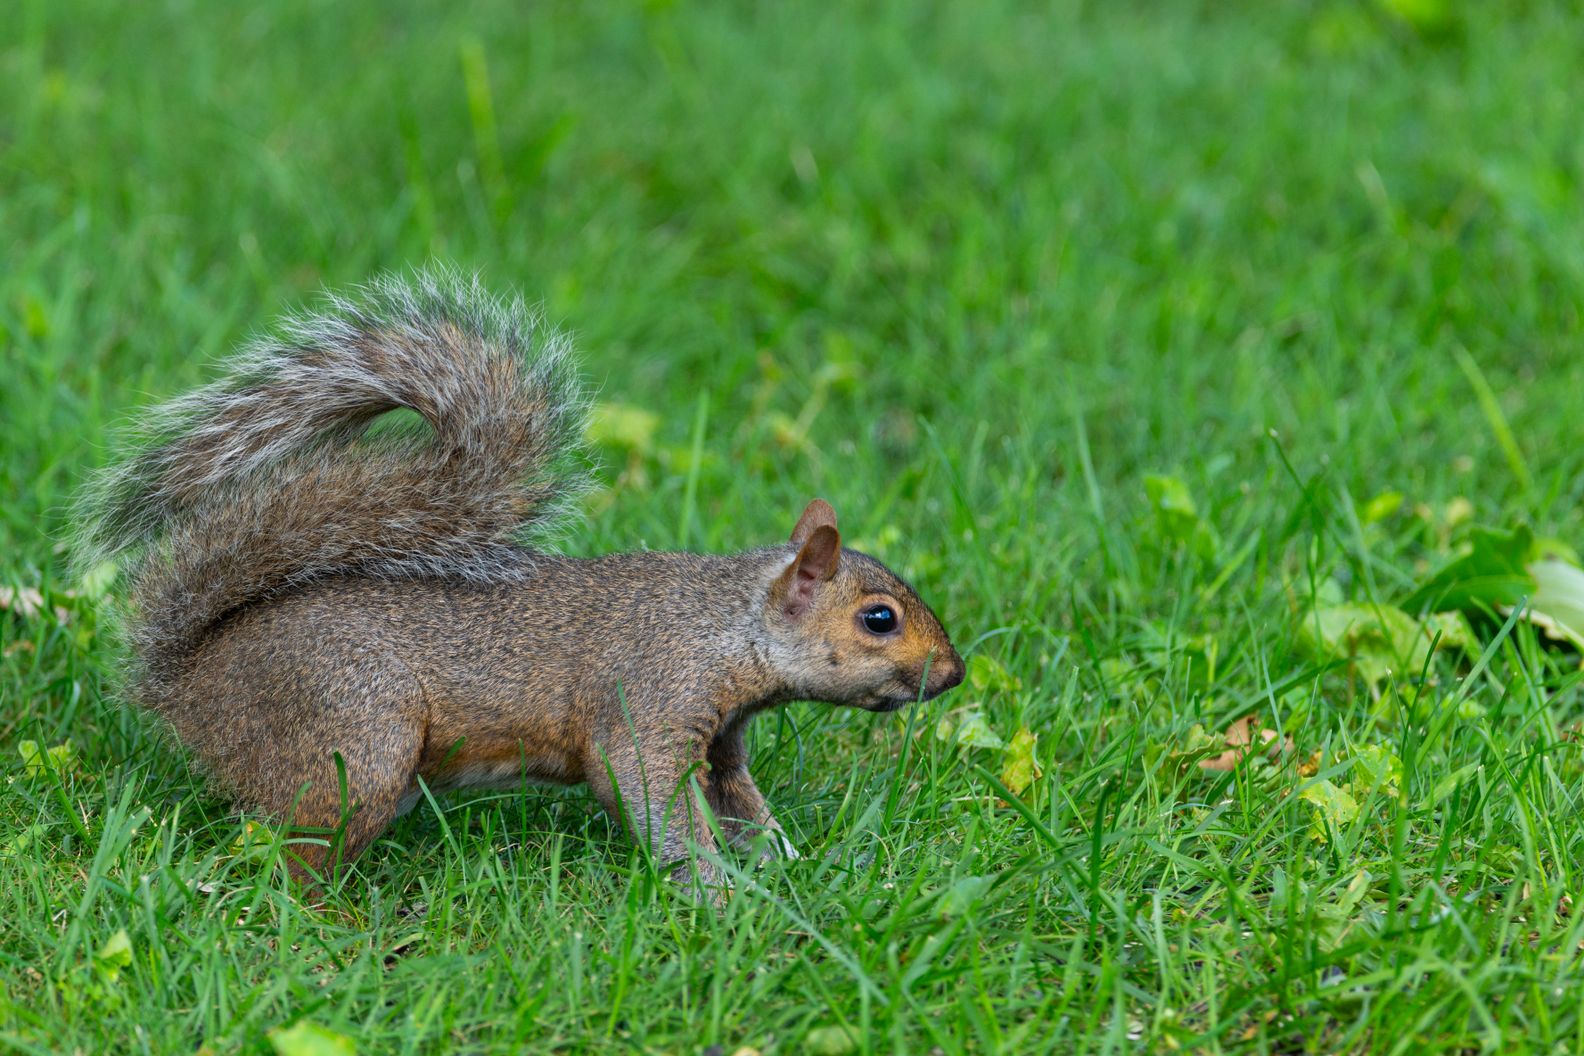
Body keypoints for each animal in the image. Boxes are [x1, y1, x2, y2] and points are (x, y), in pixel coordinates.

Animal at [76, 268, 965, 897]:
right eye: (879, 619)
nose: (955, 673)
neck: (726, 622)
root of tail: (188, 686)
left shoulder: (720, 737)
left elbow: (740, 803)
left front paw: (789, 867)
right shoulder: (652, 699)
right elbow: (652, 798)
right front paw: (721, 900)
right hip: (355, 737)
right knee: (296, 857)